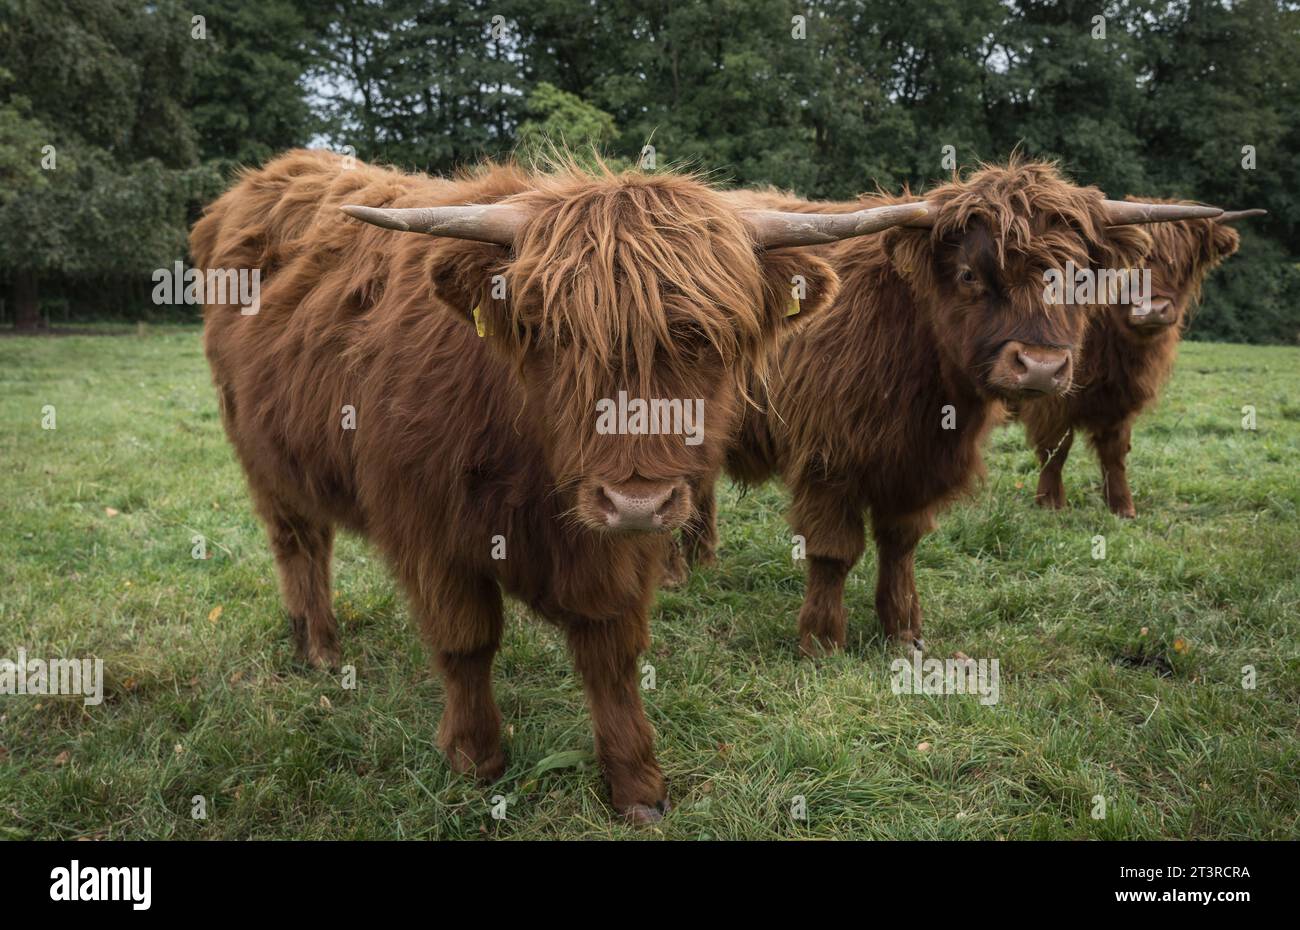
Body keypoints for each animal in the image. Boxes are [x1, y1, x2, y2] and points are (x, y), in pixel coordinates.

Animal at [190, 149, 926, 822]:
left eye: (707, 341)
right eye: (553, 336)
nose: (636, 500)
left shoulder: (620, 546)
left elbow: (612, 655)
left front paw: (637, 785)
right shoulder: (429, 533)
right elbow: (466, 643)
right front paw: (475, 758)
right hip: (265, 458)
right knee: (301, 545)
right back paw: (318, 648)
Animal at [668, 161, 1221, 656]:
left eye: (1080, 278)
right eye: (970, 274)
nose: (1041, 367)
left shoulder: (920, 465)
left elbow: (901, 546)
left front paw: (902, 631)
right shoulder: (828, 461)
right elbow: (832, 552)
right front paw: (821, 642)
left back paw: (702, 561)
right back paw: (677, 575)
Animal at [1020, 203, 1260, 516]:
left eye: (1181, 262)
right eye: (1130, 267)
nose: (1153, 309)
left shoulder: (1120, 398)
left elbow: (1115, 452)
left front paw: (1122, 507)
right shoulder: (1049, 392)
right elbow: (1055, 448)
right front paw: (1050, 503)